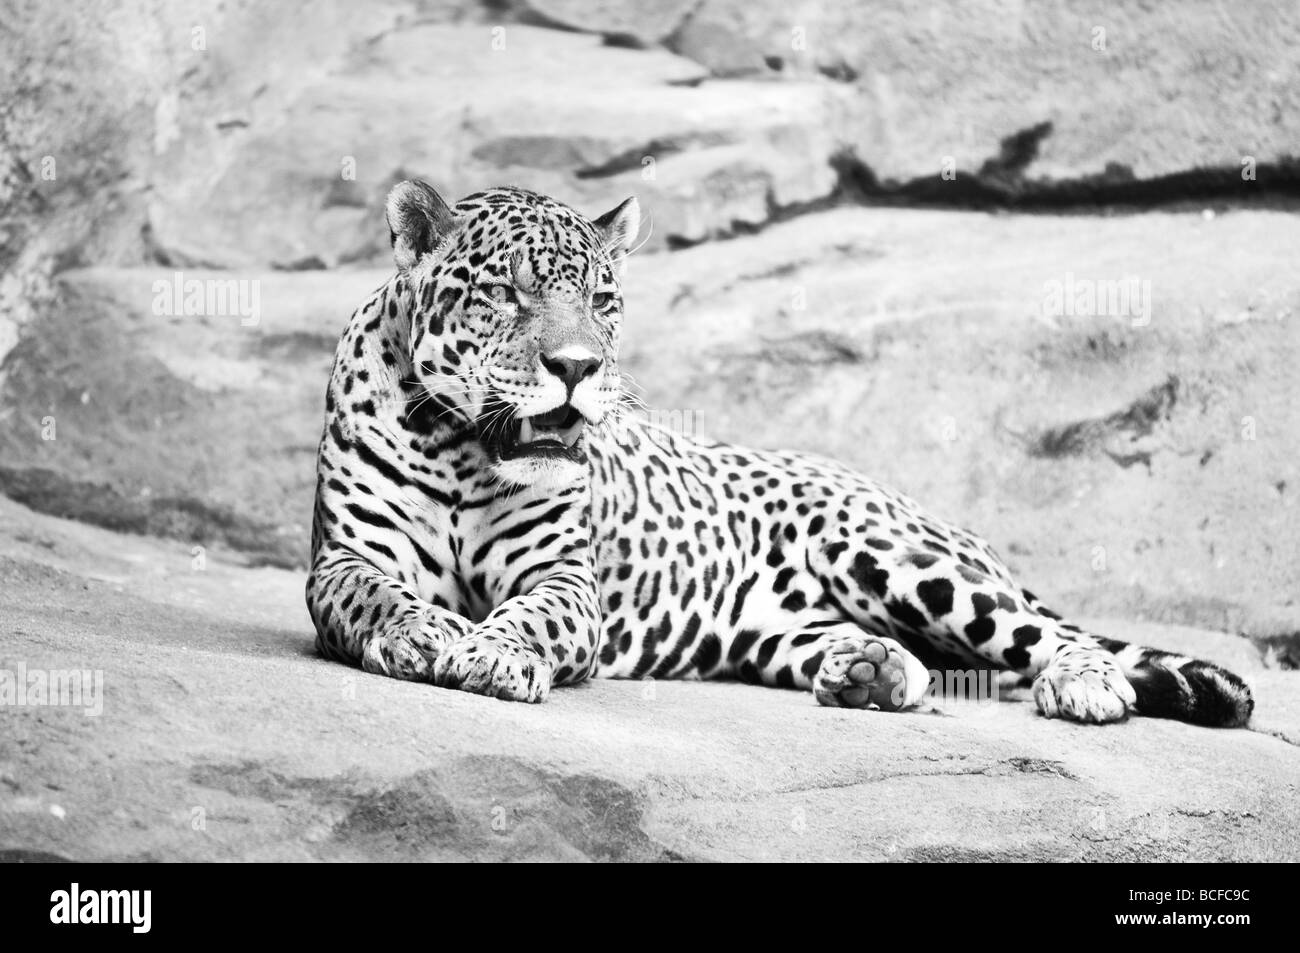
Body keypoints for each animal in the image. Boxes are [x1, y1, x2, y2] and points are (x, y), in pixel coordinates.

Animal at [305, 180, 1254, 728]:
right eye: (506, 293)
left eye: (604, 299)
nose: (577, 368)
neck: (464, 449)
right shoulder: (343, 556)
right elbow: (369, 595)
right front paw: (422, 631)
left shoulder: (566, 578)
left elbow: (533, 614)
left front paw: (496, 652)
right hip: (780, 628)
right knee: (936, 661)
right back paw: (871, 670)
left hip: (893, 555)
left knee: (1044, 639)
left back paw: (1087, 686)